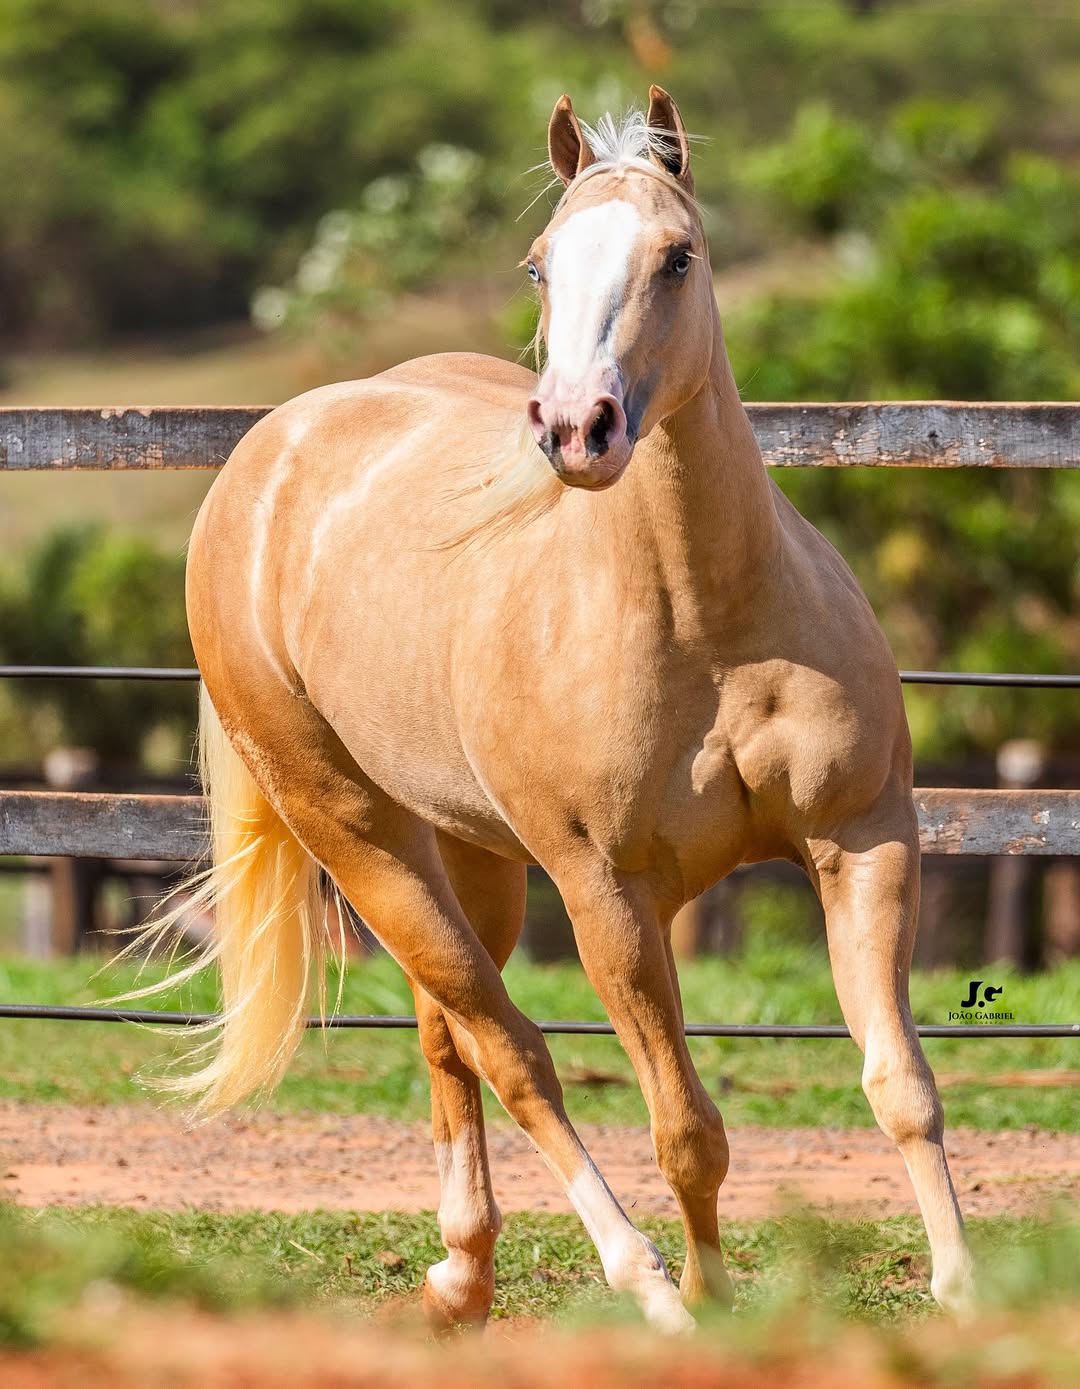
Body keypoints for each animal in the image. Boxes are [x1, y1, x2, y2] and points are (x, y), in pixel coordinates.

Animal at [148, 86, 974, 1332]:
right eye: (542, 265)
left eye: (678, 256)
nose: (579, 428)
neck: (707, 620)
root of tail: (270, 452)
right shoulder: (607, 897)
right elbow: (684, 1128)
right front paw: (707, 1298)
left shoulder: (863, 839)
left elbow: (901, 1088)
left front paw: (966, 1292)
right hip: (358, 835)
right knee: (511, 1052)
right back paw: (639, 1286)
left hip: (473, 856)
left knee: (448, 1039)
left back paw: (462, 1276)